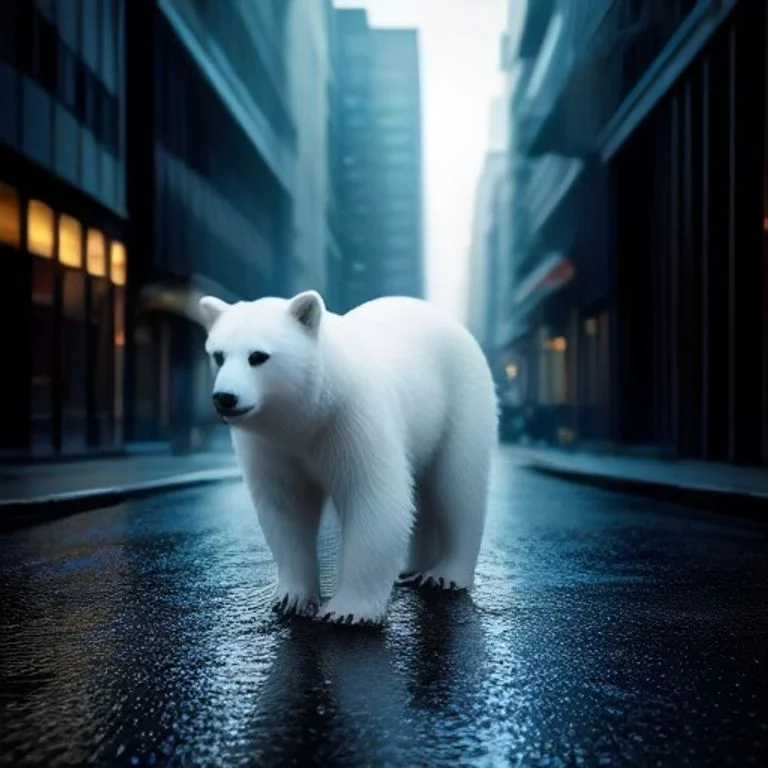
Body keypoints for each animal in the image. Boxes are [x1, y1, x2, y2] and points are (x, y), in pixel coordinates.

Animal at [198, 290, 498, 626]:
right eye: (218, 355)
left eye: (258, 356)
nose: (224, 398)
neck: (310, 412)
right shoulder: (272, 444)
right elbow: (286, 506)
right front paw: (292, 599)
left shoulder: (352, 420)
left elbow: (373, 499)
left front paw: (347, 611)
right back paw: (410, 569)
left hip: (461, 401)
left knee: (457, 485)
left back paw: (446, 575)